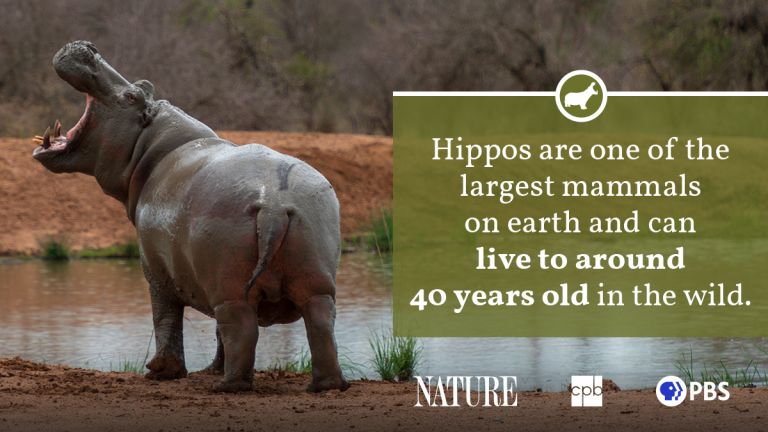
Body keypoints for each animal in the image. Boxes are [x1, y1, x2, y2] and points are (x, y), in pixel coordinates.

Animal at [32, 41, 349, 393]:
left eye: (132, 95)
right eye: (142, 85)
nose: (88, 47)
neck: (150, 146)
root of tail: (275, 204)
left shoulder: (155, 271)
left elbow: (165, 317)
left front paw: (161, 371)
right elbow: (212, 332)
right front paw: (208, 369)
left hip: (231, 288)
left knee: (240, 329)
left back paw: (228, 386)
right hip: (313, 279)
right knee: (318, 324)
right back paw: (324, 385)